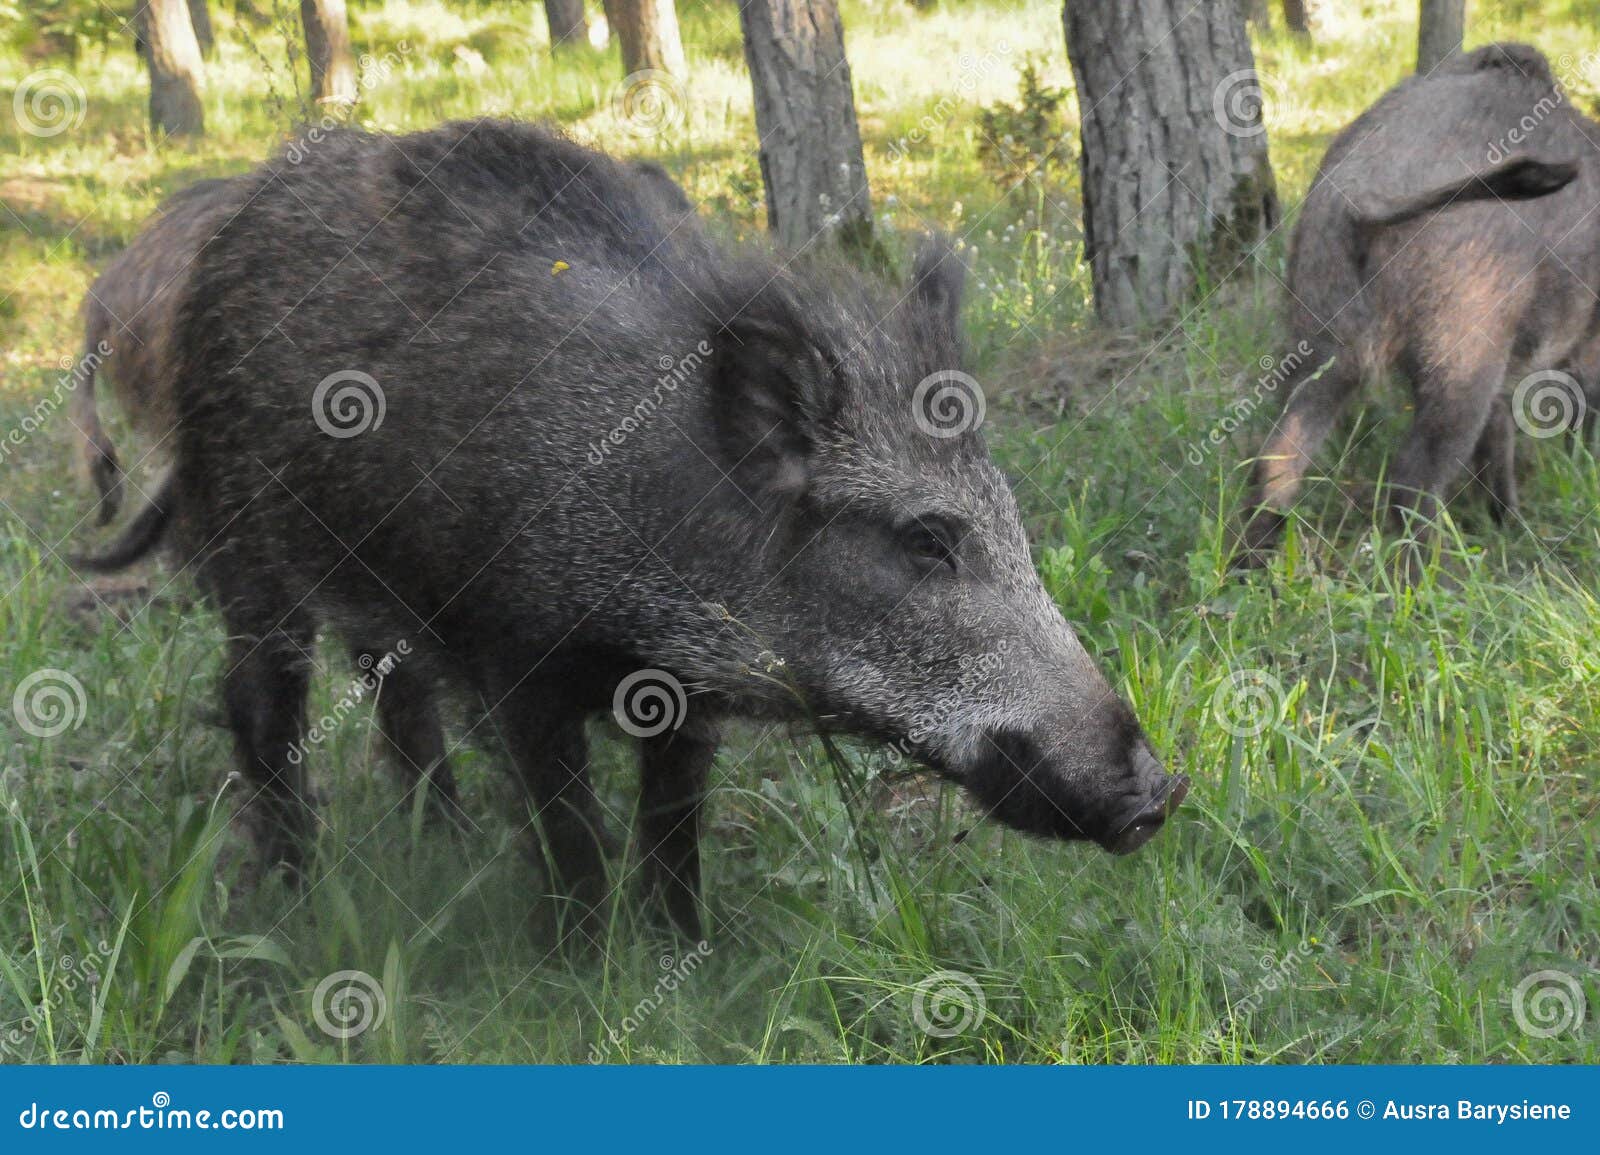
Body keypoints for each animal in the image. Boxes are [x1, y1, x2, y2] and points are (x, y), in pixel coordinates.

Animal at [82, 121, 1187, 939]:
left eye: (1011, 520)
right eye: (925, 540)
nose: (1161, 790)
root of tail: (227, 213)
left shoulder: (684, 693)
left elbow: (672, 826)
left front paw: (682, 952)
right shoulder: (514, 658)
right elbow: (571, 827)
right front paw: (581, 965)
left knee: (397, 700)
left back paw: (443, 847)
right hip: (246, 540)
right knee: (260, 703)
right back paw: (293, 896)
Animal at [1235, 43, 1590, 569]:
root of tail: (1361, 191)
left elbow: (1500, 435)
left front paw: (1508, 521)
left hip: (1319, 339)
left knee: (1277, 457)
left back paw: (1250, 570)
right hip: (1461, 353)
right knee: (1412, 478)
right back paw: (1434, 577)